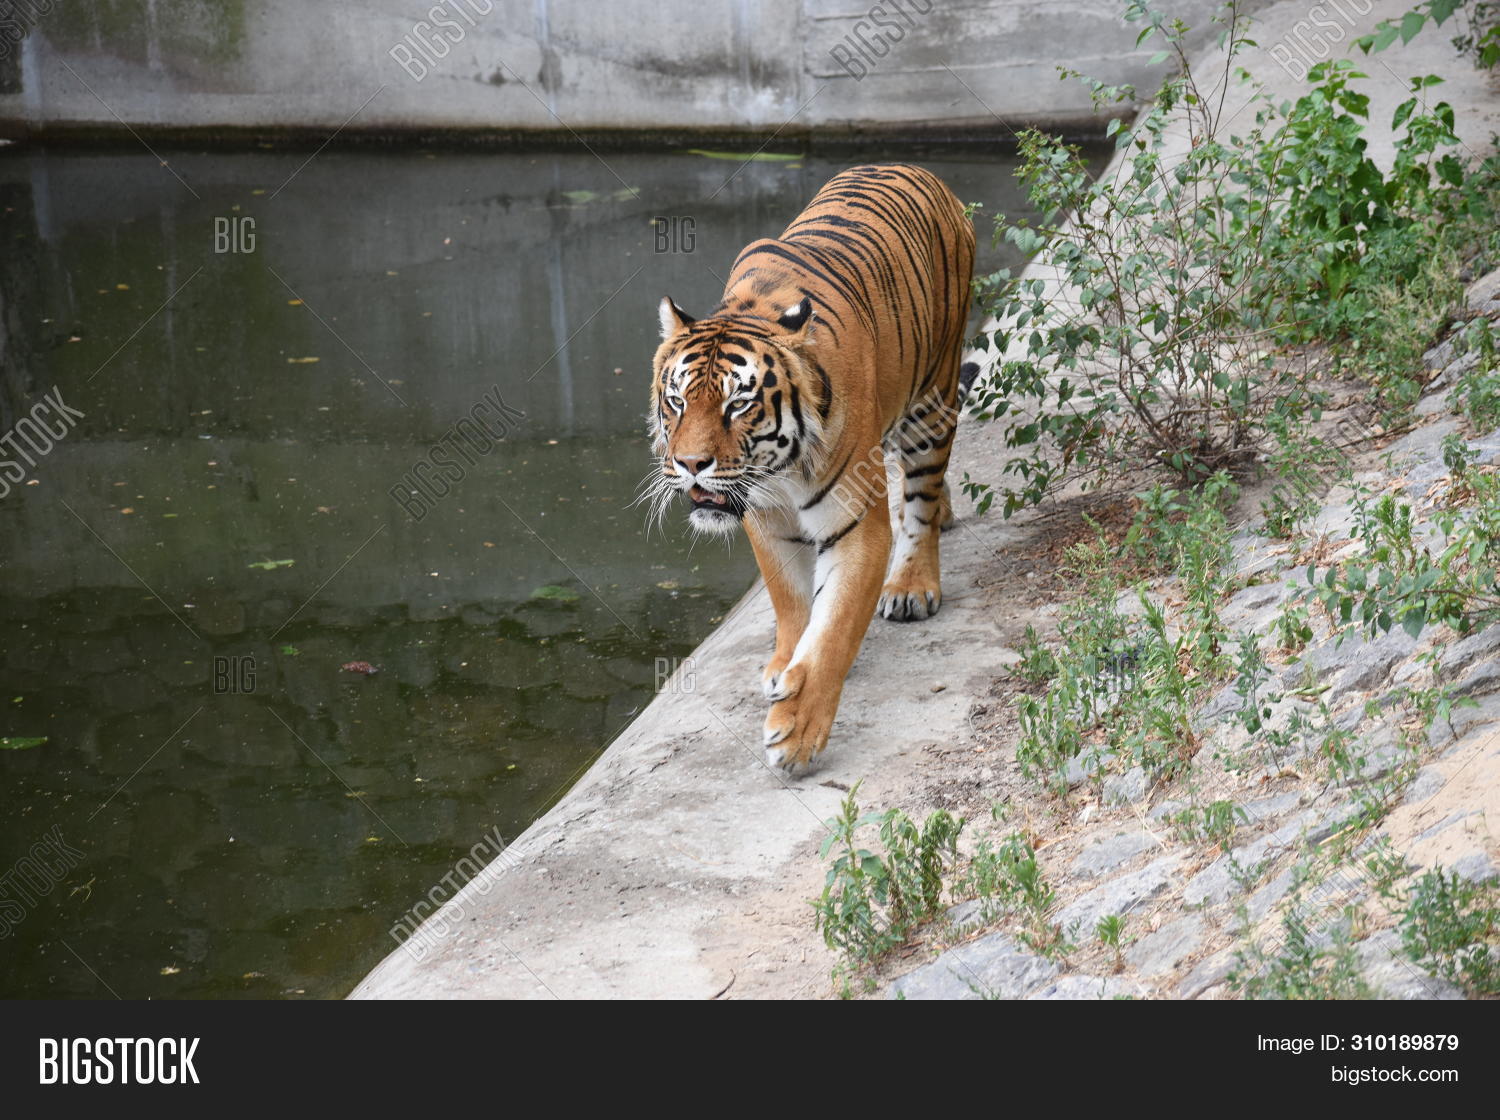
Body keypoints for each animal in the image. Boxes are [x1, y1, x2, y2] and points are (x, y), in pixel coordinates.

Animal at [648, 163, 976, 773]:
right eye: (677, 401)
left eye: (738, 403)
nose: (691, 463)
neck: (778, 470)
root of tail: (917, 169)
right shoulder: (765, 520)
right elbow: (792, 602)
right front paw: (785, 667)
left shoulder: (856, 527)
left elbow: (835, 628)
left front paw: (796, 734)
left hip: (931, 400)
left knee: (920, 497)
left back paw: (912, 584)